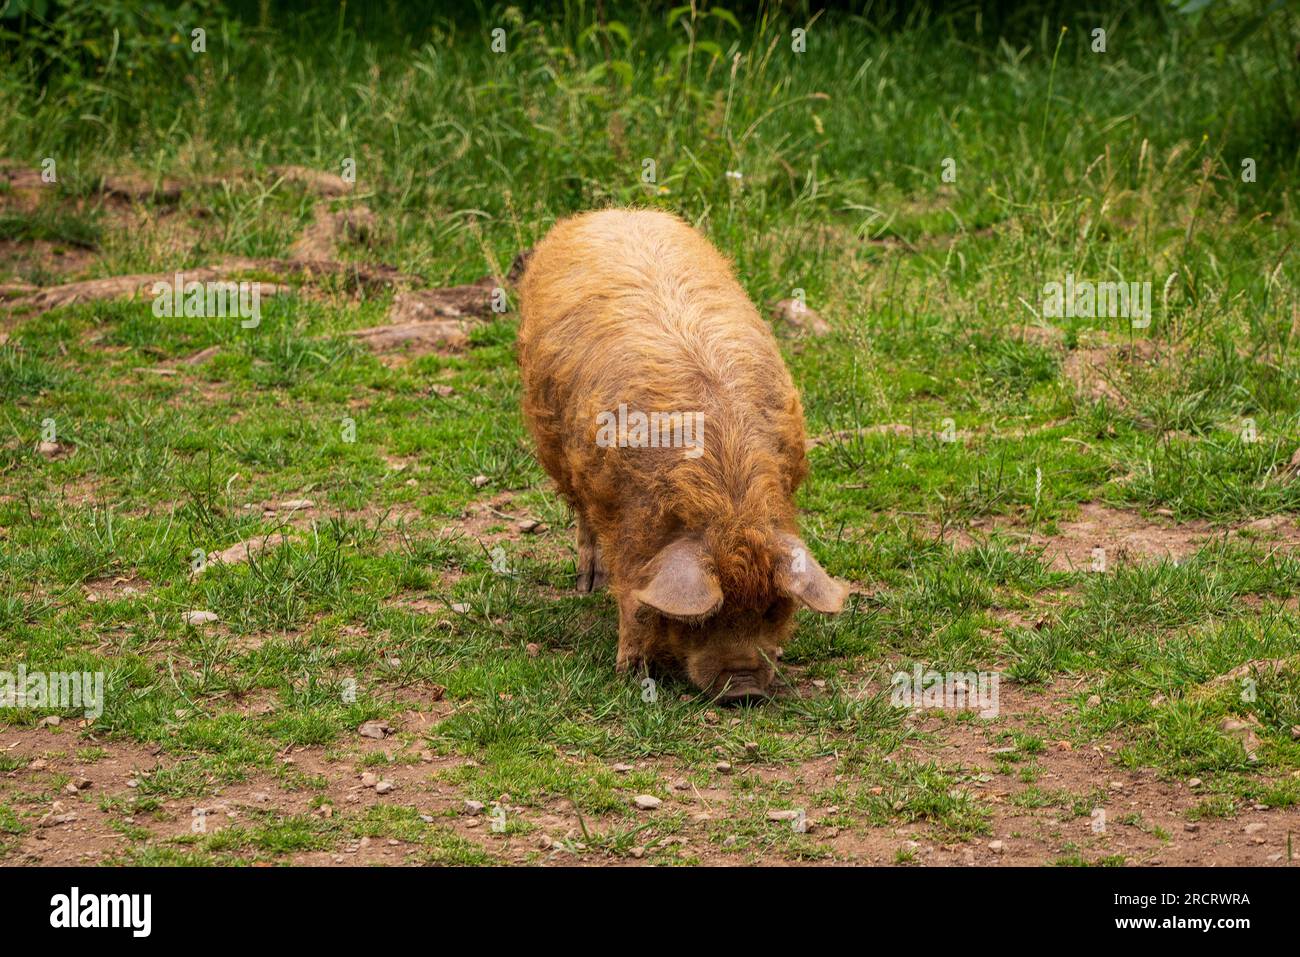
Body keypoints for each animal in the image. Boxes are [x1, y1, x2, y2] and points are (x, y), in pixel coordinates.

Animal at [517, 208, 848, 702]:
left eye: (773, 609)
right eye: (705, 617)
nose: (743, 690)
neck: (728, 504)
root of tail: (613, 211)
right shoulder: (623, 520)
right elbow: (634, 598)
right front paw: (631, 672)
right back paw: (587, 586)